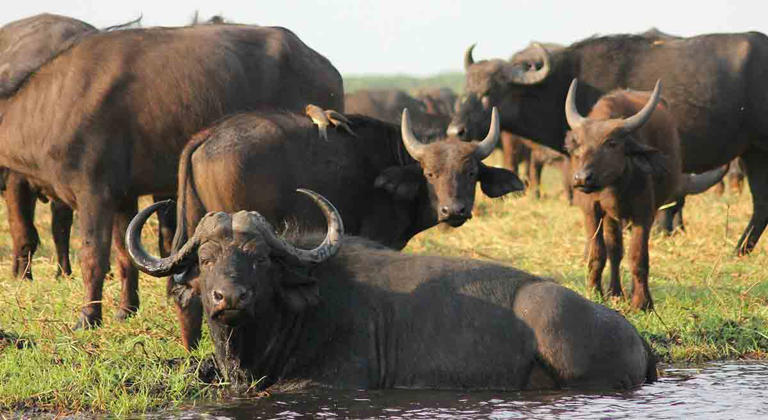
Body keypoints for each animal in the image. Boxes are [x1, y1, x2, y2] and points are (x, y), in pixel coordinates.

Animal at [0, 22, 344, 328]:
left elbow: (93, 256)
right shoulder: (123, 197)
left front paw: (88, 318)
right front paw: (125, 310)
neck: (52, 105)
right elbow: (126, 256)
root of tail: (325, 65)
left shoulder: (94, 194)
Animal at [449, 32, 768, 254]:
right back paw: (739, 250)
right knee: (761, 205)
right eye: (466, 88)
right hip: (753, 152)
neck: (566, 83)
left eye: (490, 91)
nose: (456, 131)